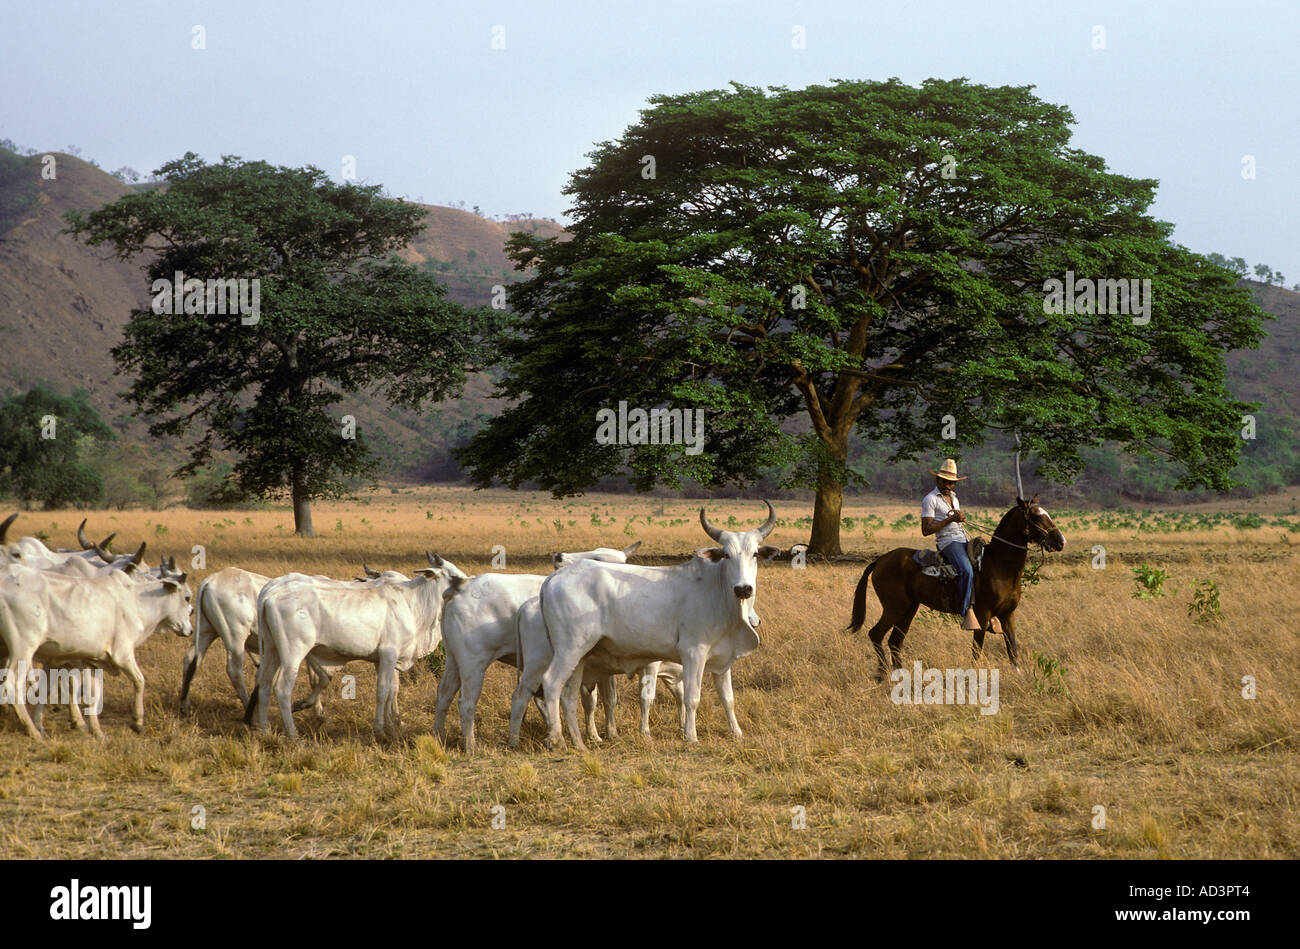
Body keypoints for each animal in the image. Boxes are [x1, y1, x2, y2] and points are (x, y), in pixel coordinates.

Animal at [0, 548, 193, 740]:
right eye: (187, 598)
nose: (190, 630)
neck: (137, 601)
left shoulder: (90, 661)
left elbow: (87, 693)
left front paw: (97, 732)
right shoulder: (122, 654)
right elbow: (139, 681)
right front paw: (137, 722)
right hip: (23, 650)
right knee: (12, 685)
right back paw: (32, 731)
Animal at [250, 554, 467, 740]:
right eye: (453, 576)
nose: (467, 583)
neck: (412, 603)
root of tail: (271, 593)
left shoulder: (382, 660)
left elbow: (391, 691)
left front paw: (392, 725)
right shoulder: (389, 654)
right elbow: (383, 691)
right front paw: (380, 730)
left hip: (271, 650)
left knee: (265, 684)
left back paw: (265, 731)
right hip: (293, 653)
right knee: (282, 688)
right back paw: (293, 735)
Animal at [433, 541, 641, 753]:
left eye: (598, 558)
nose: (559, 556)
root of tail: (462, 587)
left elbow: (599, 700)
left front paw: (598, 735)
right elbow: (600, 699)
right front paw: (606, 734)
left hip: (453, 660)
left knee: (444, 694)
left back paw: (438, 737)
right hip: (474, 663)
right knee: (467, 701)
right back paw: (472, 746)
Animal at [536, 502, 779, 751]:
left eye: (755, 553)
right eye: (727, 555)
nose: (743, 588)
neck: (719, 592)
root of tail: (554, 577)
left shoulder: (723, 659)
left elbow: (727, 698)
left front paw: (737, 733)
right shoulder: (693, 653)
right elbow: (692, 698)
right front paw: (690, 736)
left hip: (580, 657)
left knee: (569, 695)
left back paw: (579, 742)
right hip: (569, 650)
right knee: (551, 684)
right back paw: (557, 739)